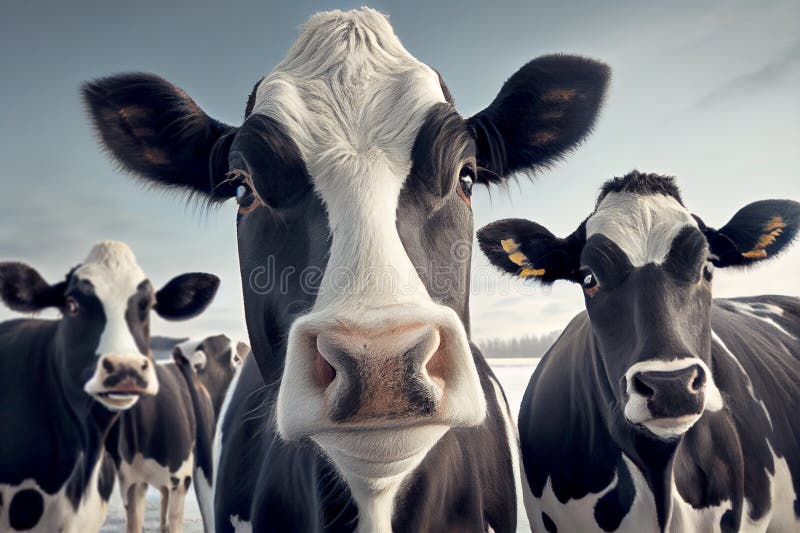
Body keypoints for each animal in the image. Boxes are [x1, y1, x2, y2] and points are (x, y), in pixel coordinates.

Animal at [0, 241, 219, 533]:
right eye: (71, 305)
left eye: (147, 305)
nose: (125, 368)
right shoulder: (130, 481)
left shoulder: (177, 480)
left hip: (202, 464)